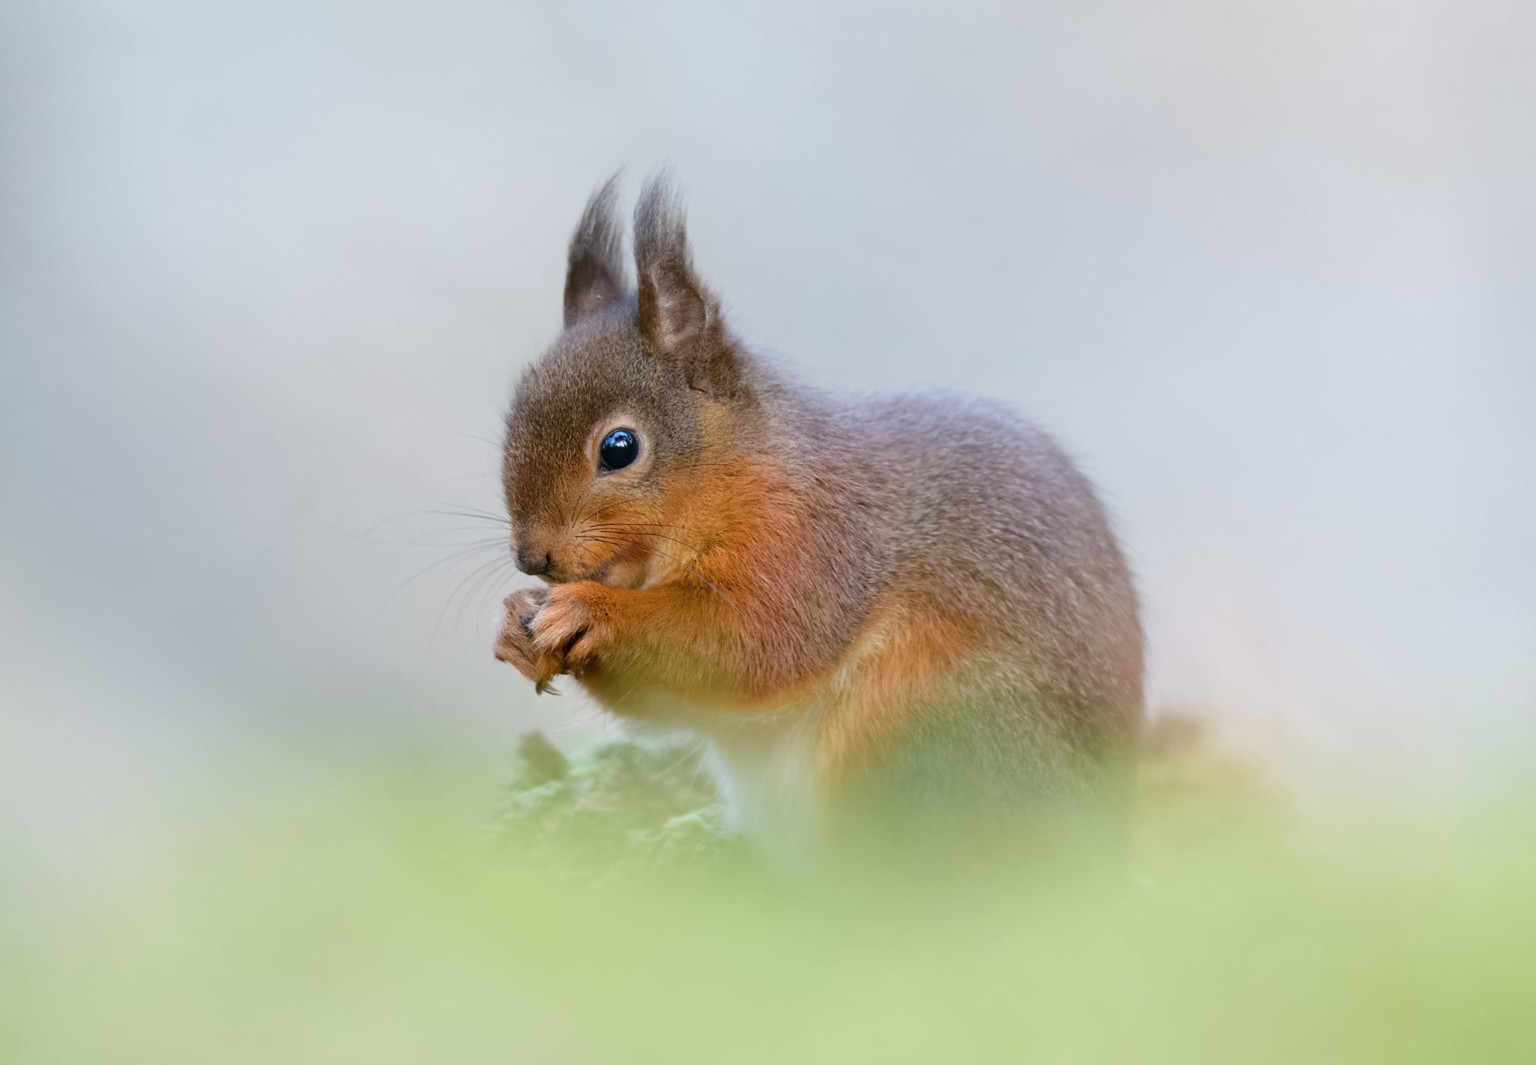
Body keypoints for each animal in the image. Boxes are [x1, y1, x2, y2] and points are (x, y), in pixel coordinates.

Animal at [494, 175, 1144, 850]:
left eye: (619, 447)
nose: (532, 557)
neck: (734, 481)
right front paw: (515, 621)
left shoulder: (815, 546)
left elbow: (750, 641)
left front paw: (588, 612)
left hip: (929, 723)